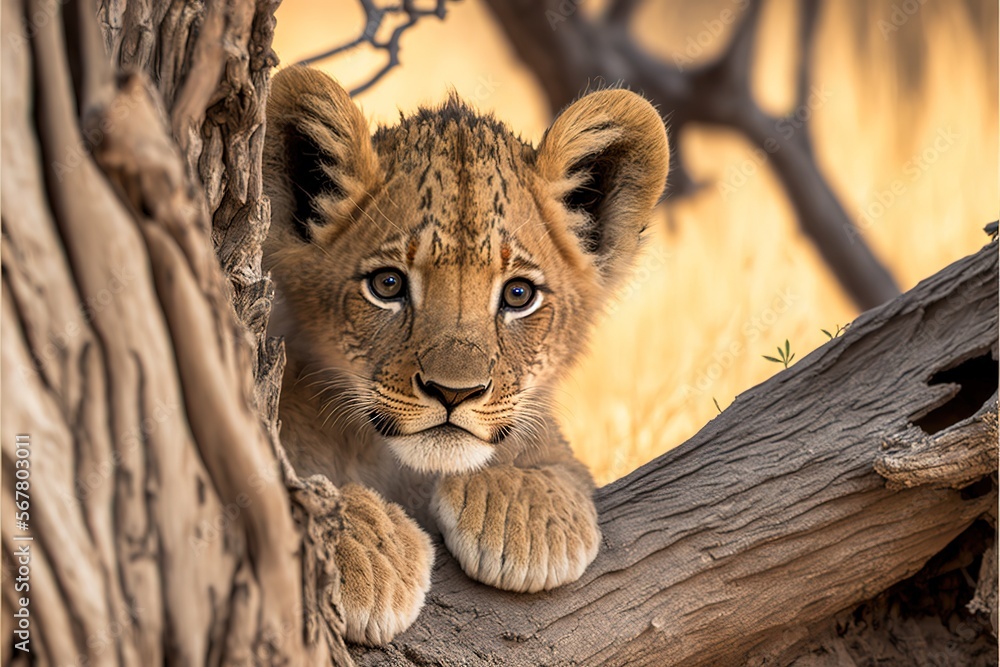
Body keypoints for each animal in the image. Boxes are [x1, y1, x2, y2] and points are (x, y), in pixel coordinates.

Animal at [262, 66, 669, 645]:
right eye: (388, 285)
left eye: (519, 295)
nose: (453, 393)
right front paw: (367, 553)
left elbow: (558, 462)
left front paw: (521, 509)